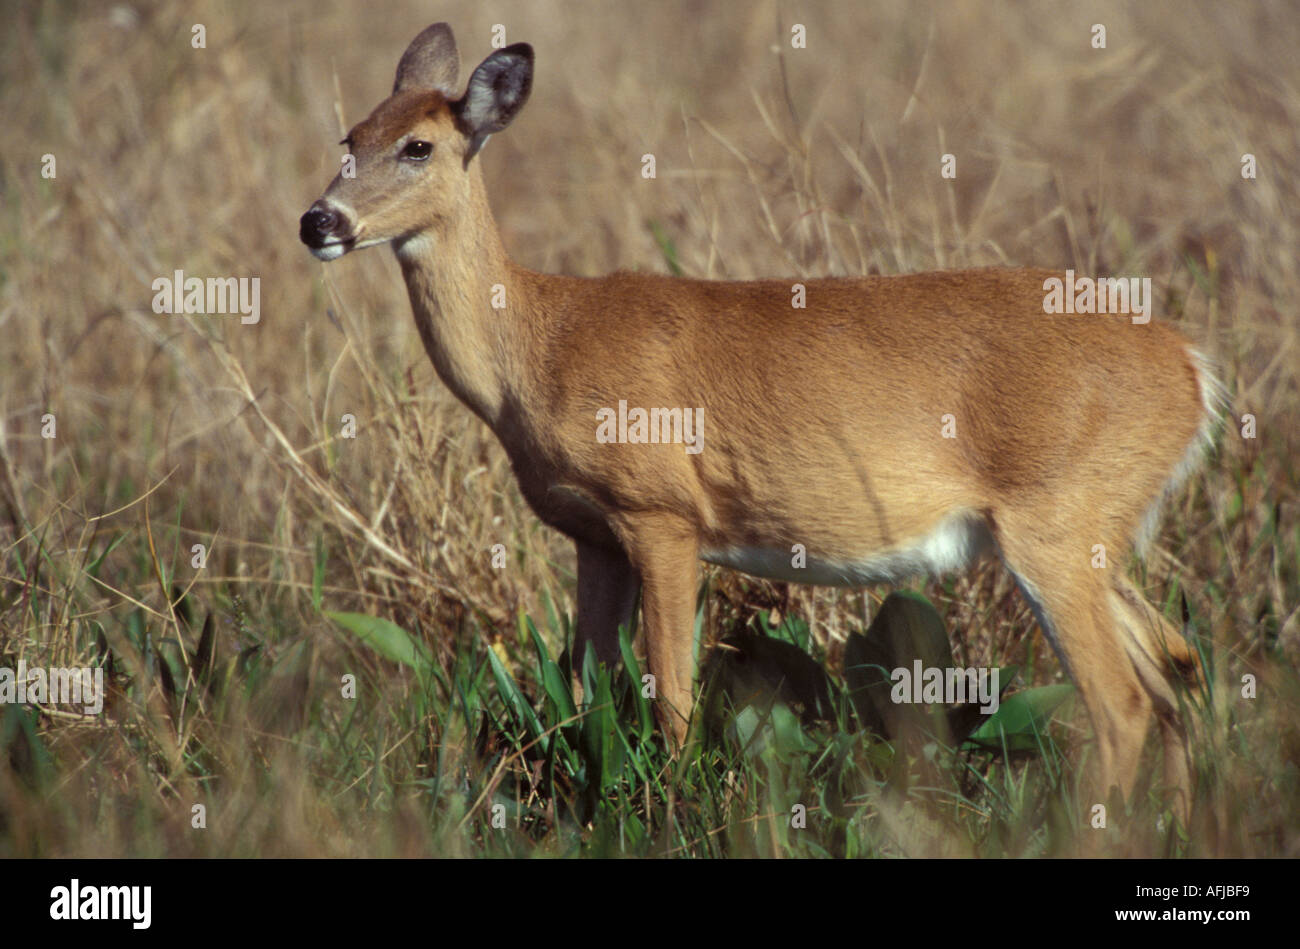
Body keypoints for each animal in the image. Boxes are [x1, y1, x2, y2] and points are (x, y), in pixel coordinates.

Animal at [300, 22, 1219, 824]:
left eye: (418, 146)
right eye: (350, 135)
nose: (319, 221)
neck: (538, 344)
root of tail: (1192, 368)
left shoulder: (662, 510)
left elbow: (673, 698)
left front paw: (675, 811)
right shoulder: (594, 536)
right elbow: (588, 691)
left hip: (1054, 519)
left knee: (1124, 701)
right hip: (1093, 530)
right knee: (1177, 663)